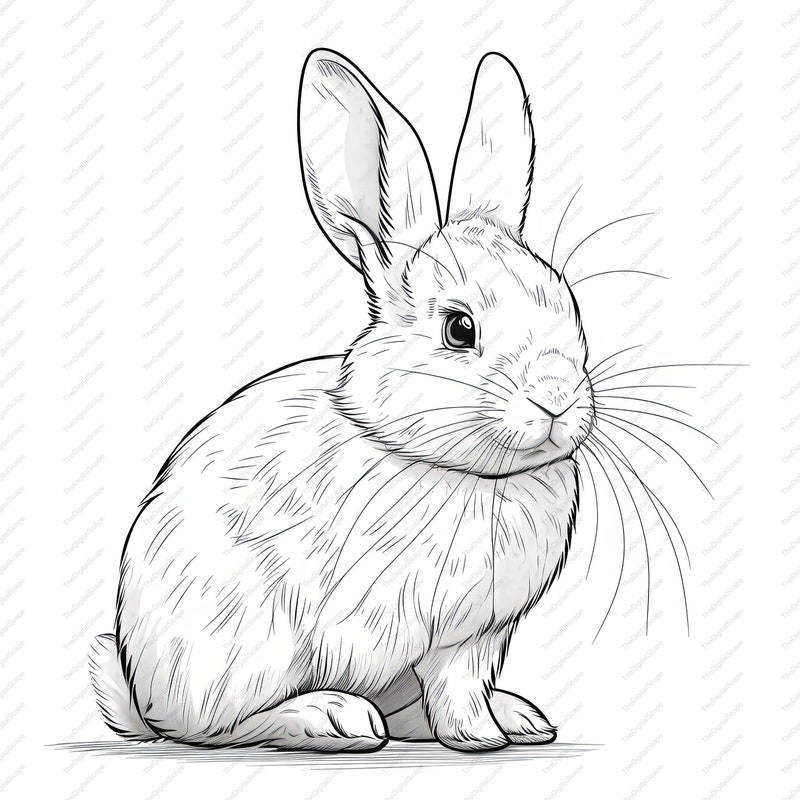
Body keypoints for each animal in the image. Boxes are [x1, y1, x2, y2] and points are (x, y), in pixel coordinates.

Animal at [89, 48, 595, 752]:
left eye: (569, 307)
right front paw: (478, 739)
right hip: (247, 650)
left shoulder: (479, 635)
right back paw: (334, 718)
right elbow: (455, 693)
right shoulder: (438, 634)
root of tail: (138, 690)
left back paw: (520, 715)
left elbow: (458, 687)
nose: (556, 399)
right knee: (222, 729)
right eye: (459, 329)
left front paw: (491, 730)